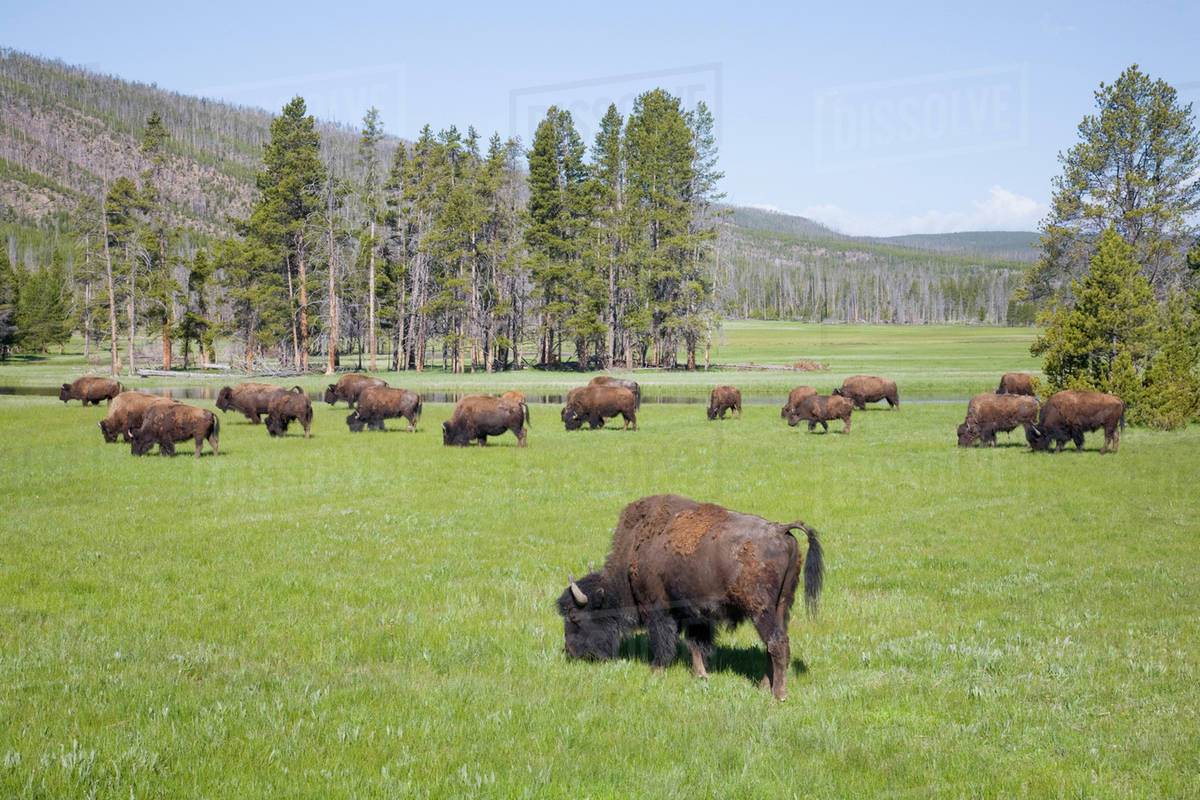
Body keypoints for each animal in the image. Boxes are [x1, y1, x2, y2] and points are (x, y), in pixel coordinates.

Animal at [557, 494, 824, 701]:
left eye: (574, 617)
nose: (571, 652)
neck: (636, 550)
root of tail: (781, 529)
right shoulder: (696, 615)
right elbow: (695, 644)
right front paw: (700, 675)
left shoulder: (658, 610)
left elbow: (664, 642)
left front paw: (655, 671)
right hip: (781, 607)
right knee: (773, 644)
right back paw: (763, 686)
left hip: (761, 611)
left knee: (777, 644)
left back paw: (779, 695)